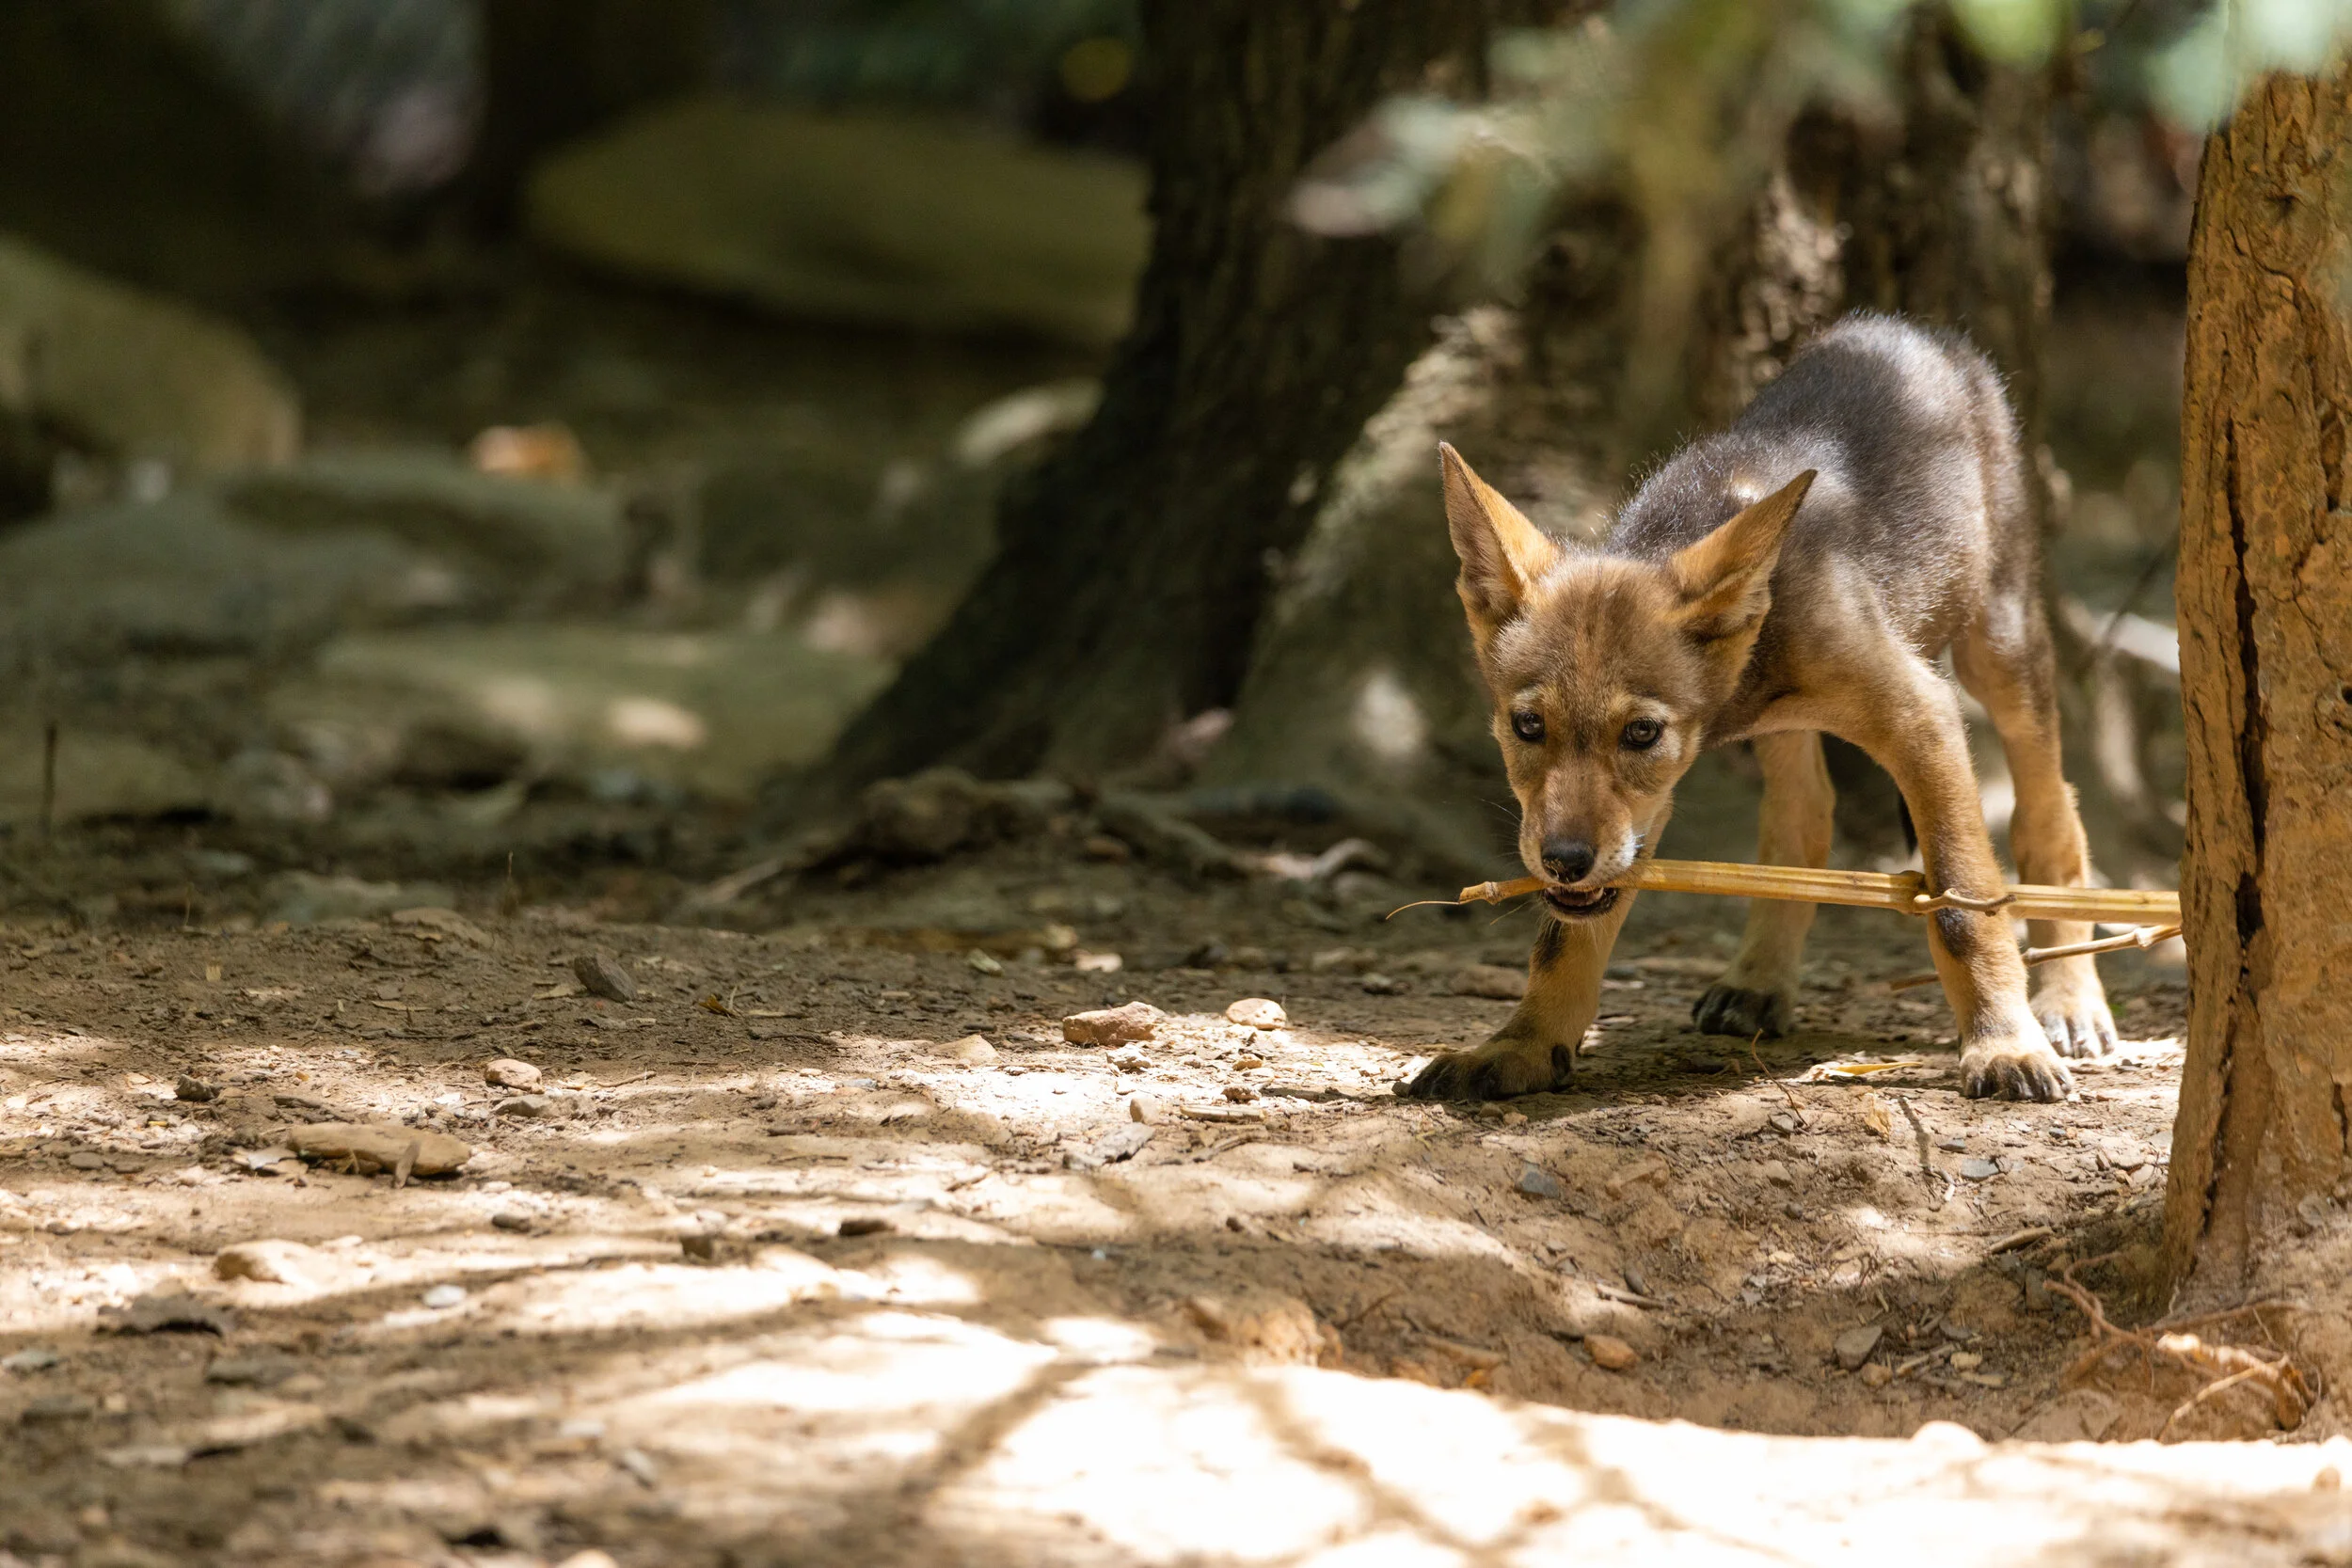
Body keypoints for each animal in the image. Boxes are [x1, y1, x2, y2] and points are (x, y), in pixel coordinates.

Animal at [1406, 314, 2114, 1104]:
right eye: (1526, 725)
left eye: (1641, 732)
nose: (1562, 861)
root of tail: (1916, 329)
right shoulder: (1646, 806)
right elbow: (1565, 937)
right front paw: (1524, 1043)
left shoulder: (1920, 716)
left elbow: (1962, 902)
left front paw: (2003, 1045)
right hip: (1796, 729)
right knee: (1802, 824)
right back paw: (1758, 980)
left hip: (2001, 647)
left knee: (2049, 817)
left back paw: (2070, 1000)